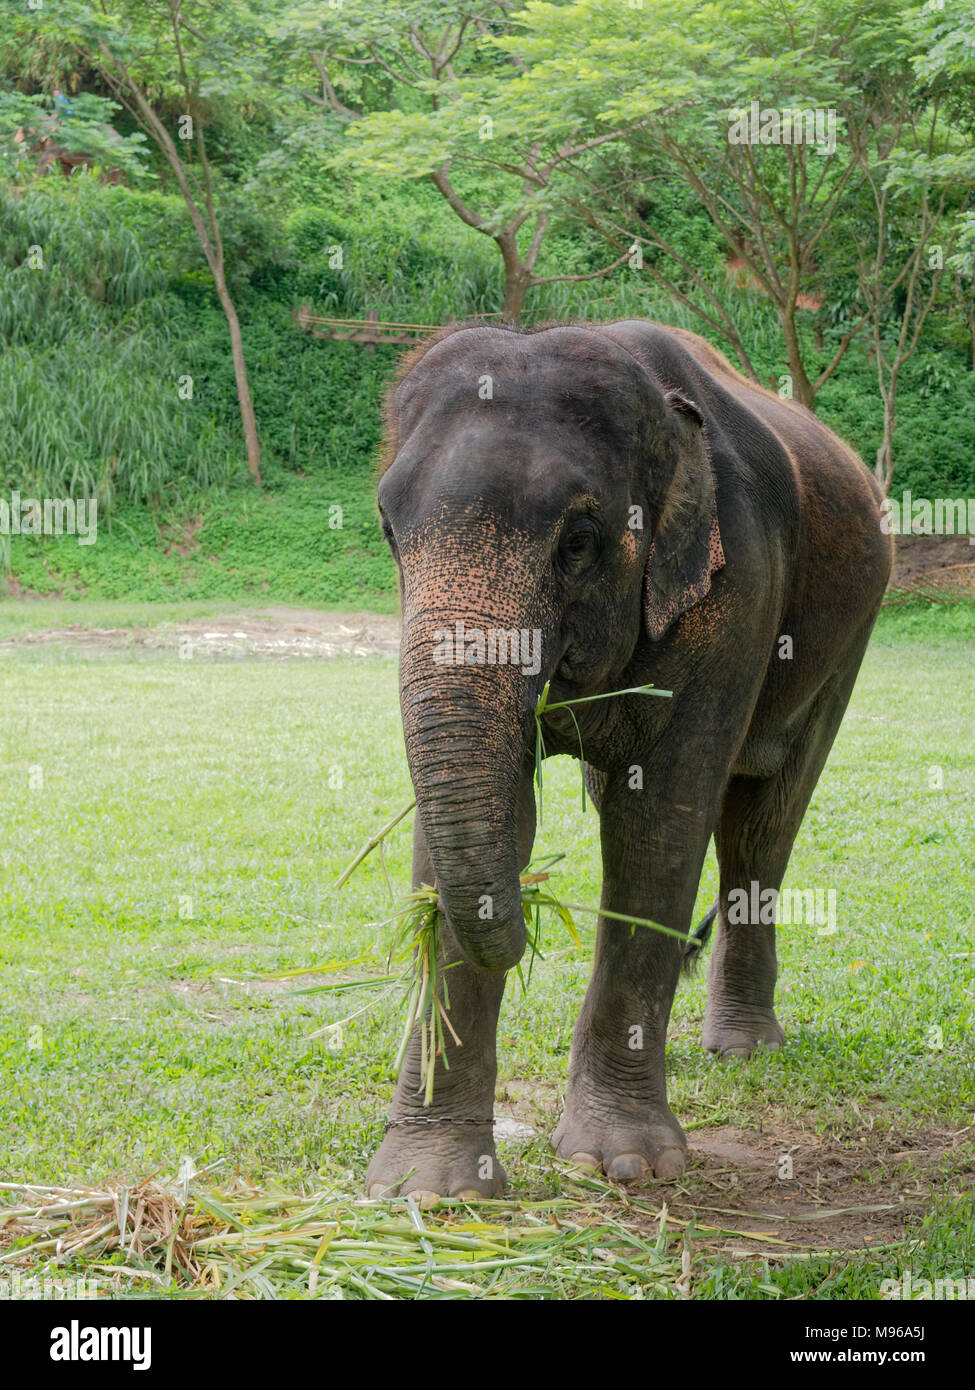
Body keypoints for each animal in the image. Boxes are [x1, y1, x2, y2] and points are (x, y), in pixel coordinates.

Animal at [366, 318, 892, 1202]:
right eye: (387, 532)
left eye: (577, 542)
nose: (532, 924)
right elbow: (491, 814)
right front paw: (427, 1190)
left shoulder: (734, 593)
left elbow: (659, 821)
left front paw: (622, 1164)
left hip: (849, 636)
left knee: (761, 821)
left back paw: (741, 1048)